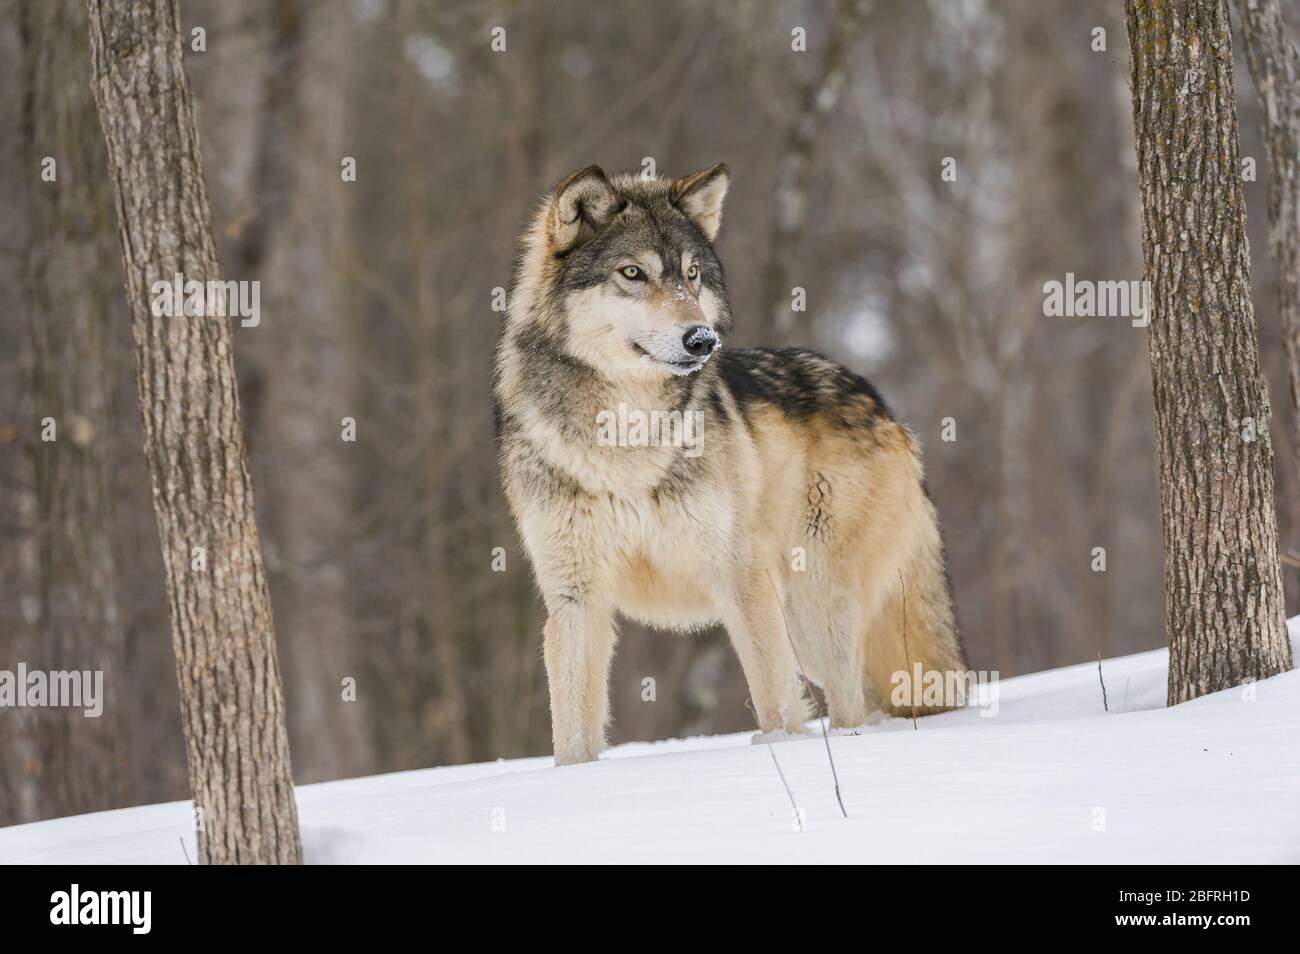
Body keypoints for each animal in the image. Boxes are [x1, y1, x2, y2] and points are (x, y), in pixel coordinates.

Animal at [495, 163, 965, 765]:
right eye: (633, 273)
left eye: (693, 274)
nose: (702, 338)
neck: (624, 439)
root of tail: (882, 405)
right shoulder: (575, 599)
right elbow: (573, 736)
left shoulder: (740, 576)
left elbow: (774, 699)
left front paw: (777, 750)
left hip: (815, 609)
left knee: (849, 705)